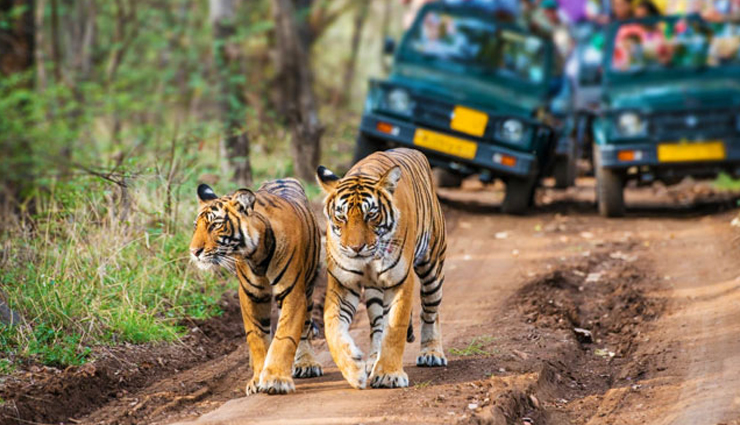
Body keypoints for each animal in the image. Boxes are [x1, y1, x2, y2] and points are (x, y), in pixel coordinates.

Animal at [189, 179, 323, 395]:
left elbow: (285, 336)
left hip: (309, 286)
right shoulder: (251, 295)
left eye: (216, 225)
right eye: (196, 226)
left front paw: (276, 379)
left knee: (305, 327)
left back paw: (306, 364)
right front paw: (257, 379)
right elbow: (257, 337)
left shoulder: (293, 292)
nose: (194, 251)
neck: (256, 254)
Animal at [316, 147, 447, 389]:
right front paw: (353, 369)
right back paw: (372, 361)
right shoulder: (343, 283)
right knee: (377, 324)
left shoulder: (401, 281)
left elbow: (395, 328)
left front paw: (389, 375)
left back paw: (431, 353)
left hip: (432, 266)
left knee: (430, 311)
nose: (355, 248)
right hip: (374, 290)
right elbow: (332, 327)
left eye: (371, 215)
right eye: (341, 216)